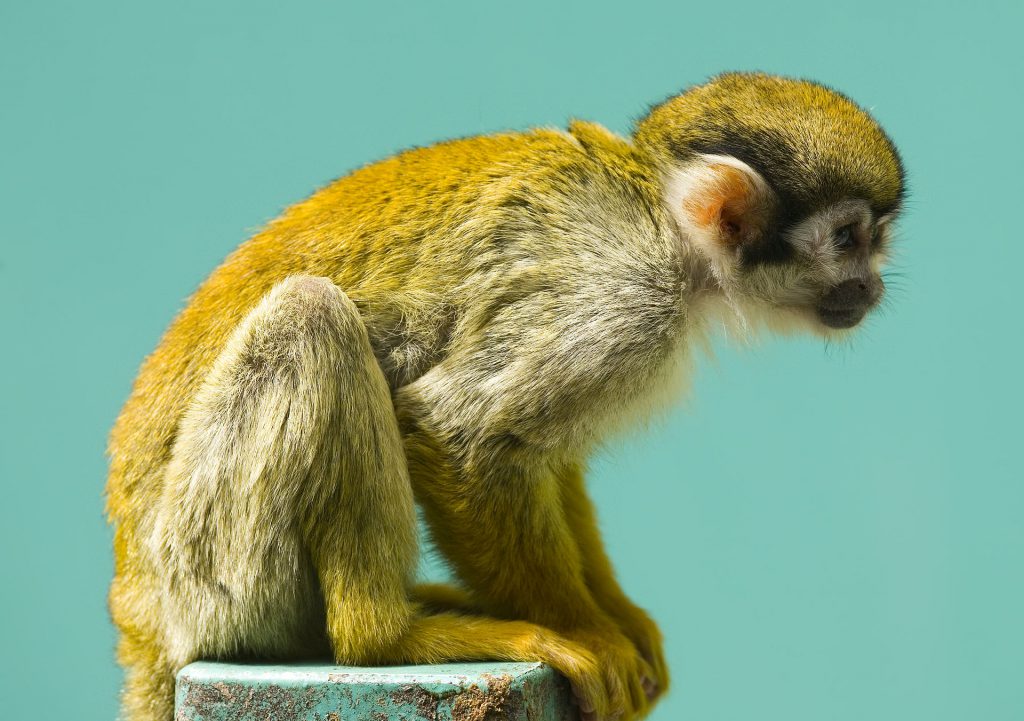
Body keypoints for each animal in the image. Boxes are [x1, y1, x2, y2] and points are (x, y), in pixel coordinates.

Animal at [105, 71, 904, 721]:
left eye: (876, 242)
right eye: (848, 239)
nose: (872, 286)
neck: (664, 226)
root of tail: (140, 615)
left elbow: (544, 455)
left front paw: (621, 618)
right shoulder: (622, 300)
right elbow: (460, 431)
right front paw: (594, 635)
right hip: (208, 563)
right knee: (311, 317)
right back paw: (388, 634)